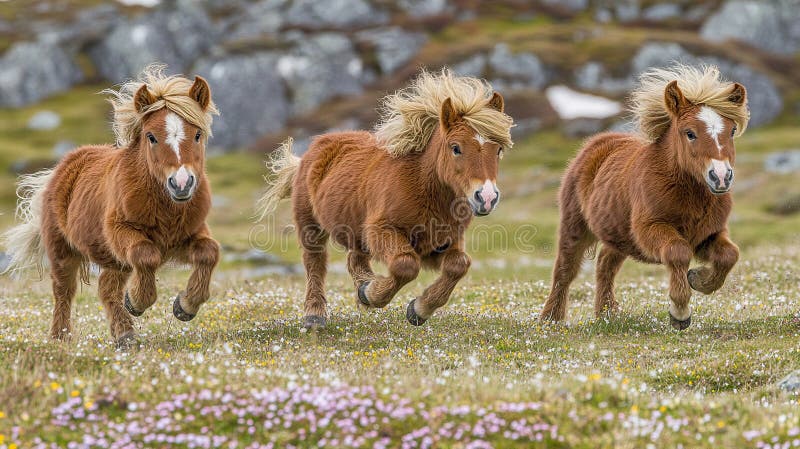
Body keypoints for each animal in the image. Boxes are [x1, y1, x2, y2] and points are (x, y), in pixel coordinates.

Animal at [2, 65, 221, 346]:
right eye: (151, 137)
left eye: (197, 134)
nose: (181, 183)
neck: (167, 209)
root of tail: (64, 165)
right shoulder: (121, 233)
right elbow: (146, 255)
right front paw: (137, 302)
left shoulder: (189, 234)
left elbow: (209, 252)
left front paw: (185, 306)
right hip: (63, 250)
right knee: (63, 291)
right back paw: (61, 338)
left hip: (114, 261)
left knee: (106, 287)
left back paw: (124, 335)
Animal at [258, 69, 514, 328]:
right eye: (456, 148)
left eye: (499, 150)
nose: (487, 197)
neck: (422, 185)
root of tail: (313, 149)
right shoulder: (381, 230)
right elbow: (405, 265)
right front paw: (375, 295)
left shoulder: (445, 240)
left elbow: (459, 265)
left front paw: (418, 308)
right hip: (310, 225)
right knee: (315, 263)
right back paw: (315, 315)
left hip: (356, 231)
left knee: (354, 260)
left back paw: (363, 286)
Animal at [540, 64, 749, 330]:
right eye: (690, 133)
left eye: (732, 131)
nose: (720, 177)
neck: (689, 195)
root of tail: (596, 143)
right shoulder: (650, 228)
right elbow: (678, 252)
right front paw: (680, 312)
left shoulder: (708, 234)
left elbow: (729, 255)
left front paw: (698, 279)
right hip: (575, 226)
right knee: (565, 270)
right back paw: (551, 320)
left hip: (618, 235)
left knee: (605, 264)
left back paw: (607, 315)